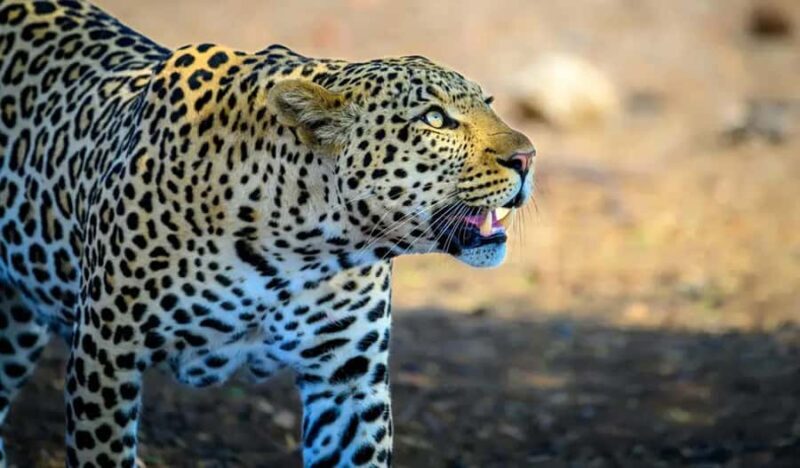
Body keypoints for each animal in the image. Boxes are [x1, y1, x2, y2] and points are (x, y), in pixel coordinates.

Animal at [0, 0, 536, 466]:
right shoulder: (107, 354)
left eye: (489, 103)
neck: (304, 247)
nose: (528, 157)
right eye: (434, 119)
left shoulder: (347, 381)